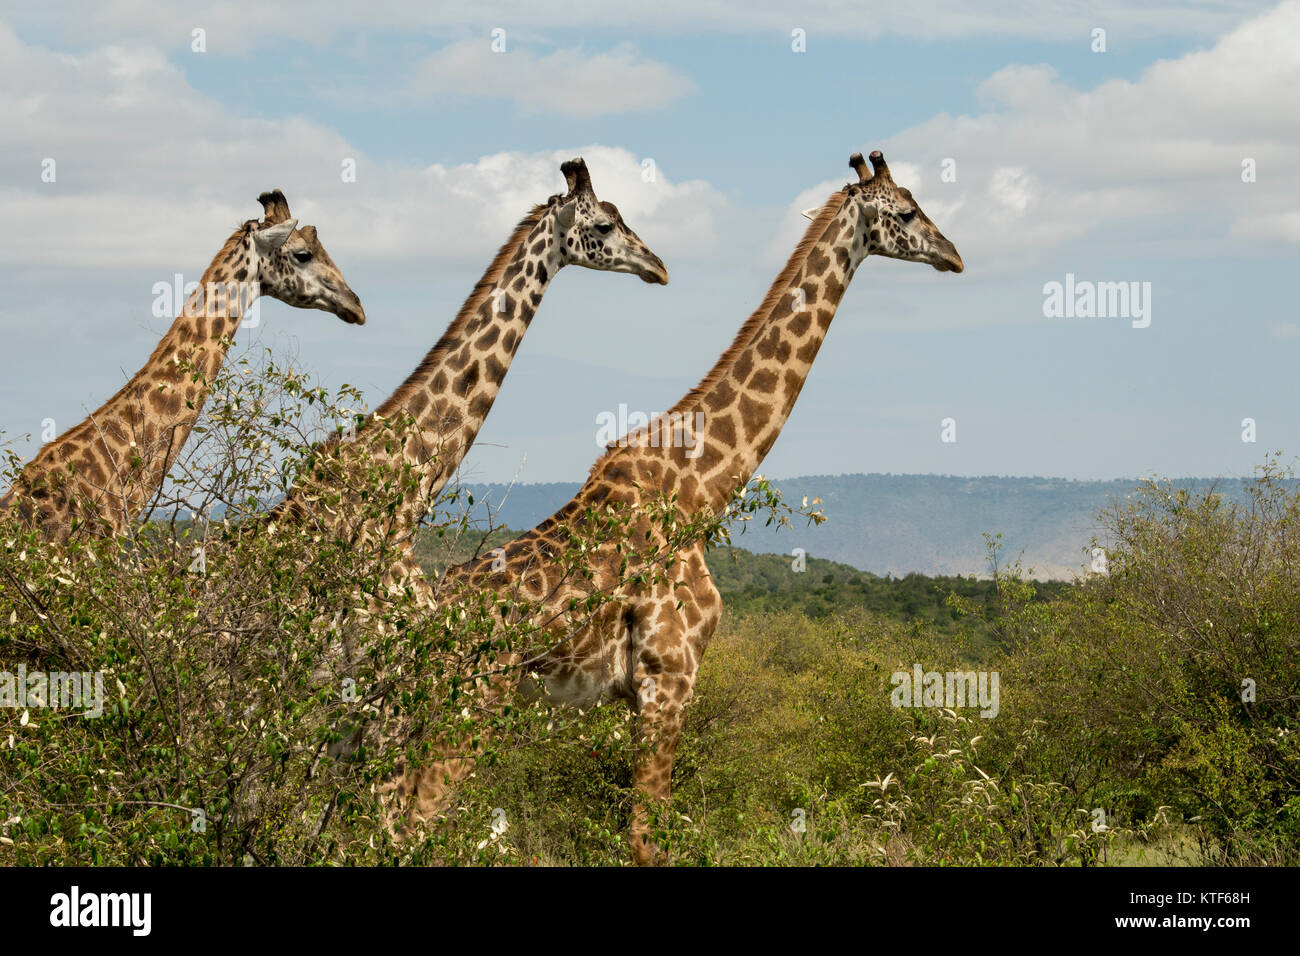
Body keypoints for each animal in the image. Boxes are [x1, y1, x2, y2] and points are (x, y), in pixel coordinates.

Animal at [398, 150, 963, 863]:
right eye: (908, 212)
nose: (954, 255)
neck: (702, 488)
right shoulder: (670, 677)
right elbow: (646, 837)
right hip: (470, 702)